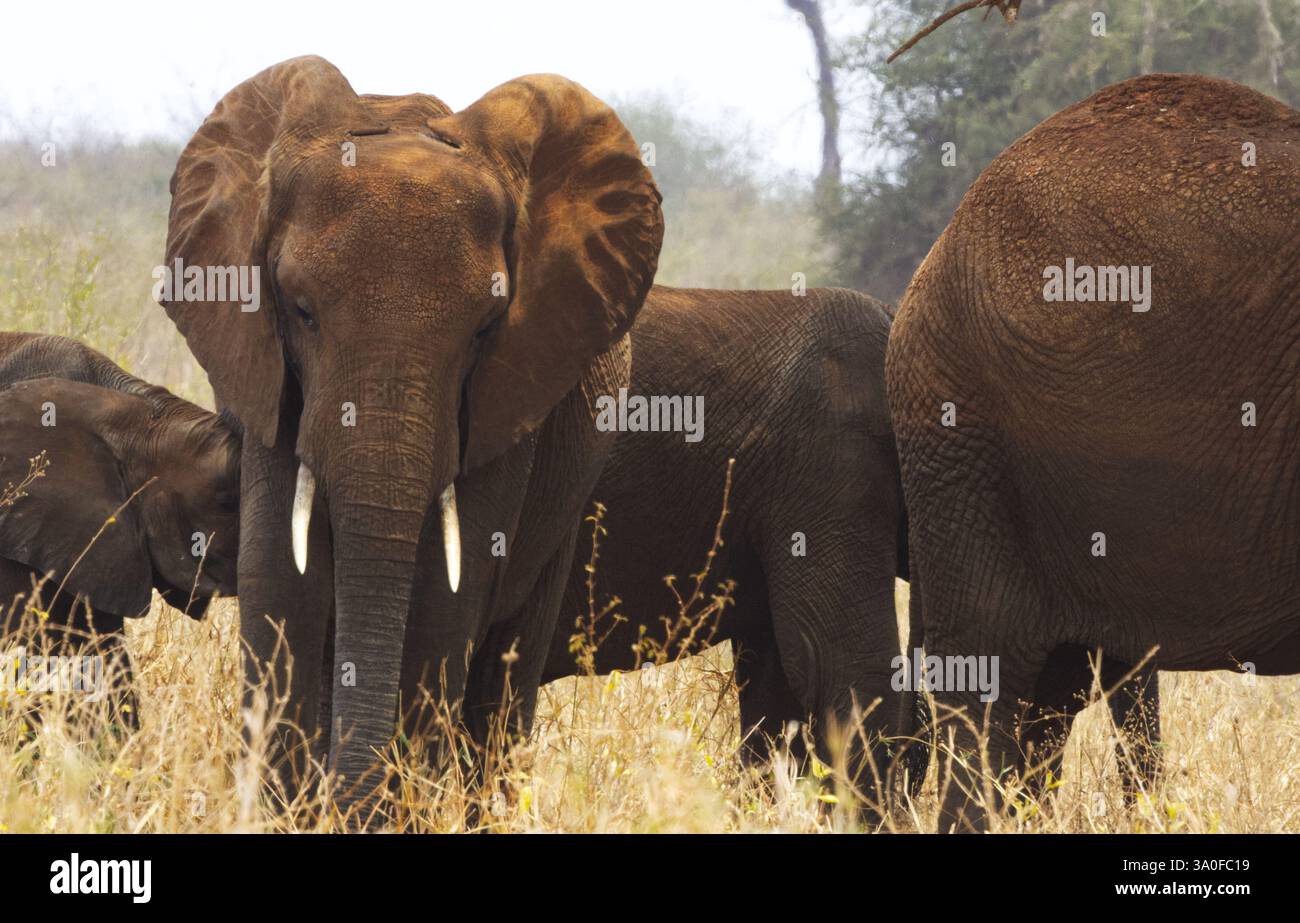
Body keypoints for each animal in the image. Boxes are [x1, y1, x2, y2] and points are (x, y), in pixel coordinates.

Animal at [160, 56, 663, 810]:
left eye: (485, 328)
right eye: (300, 310)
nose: (349, 801)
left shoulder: (506, 399)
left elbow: (445, 596)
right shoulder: (266, 380)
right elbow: (280, 577)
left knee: (505, 677)